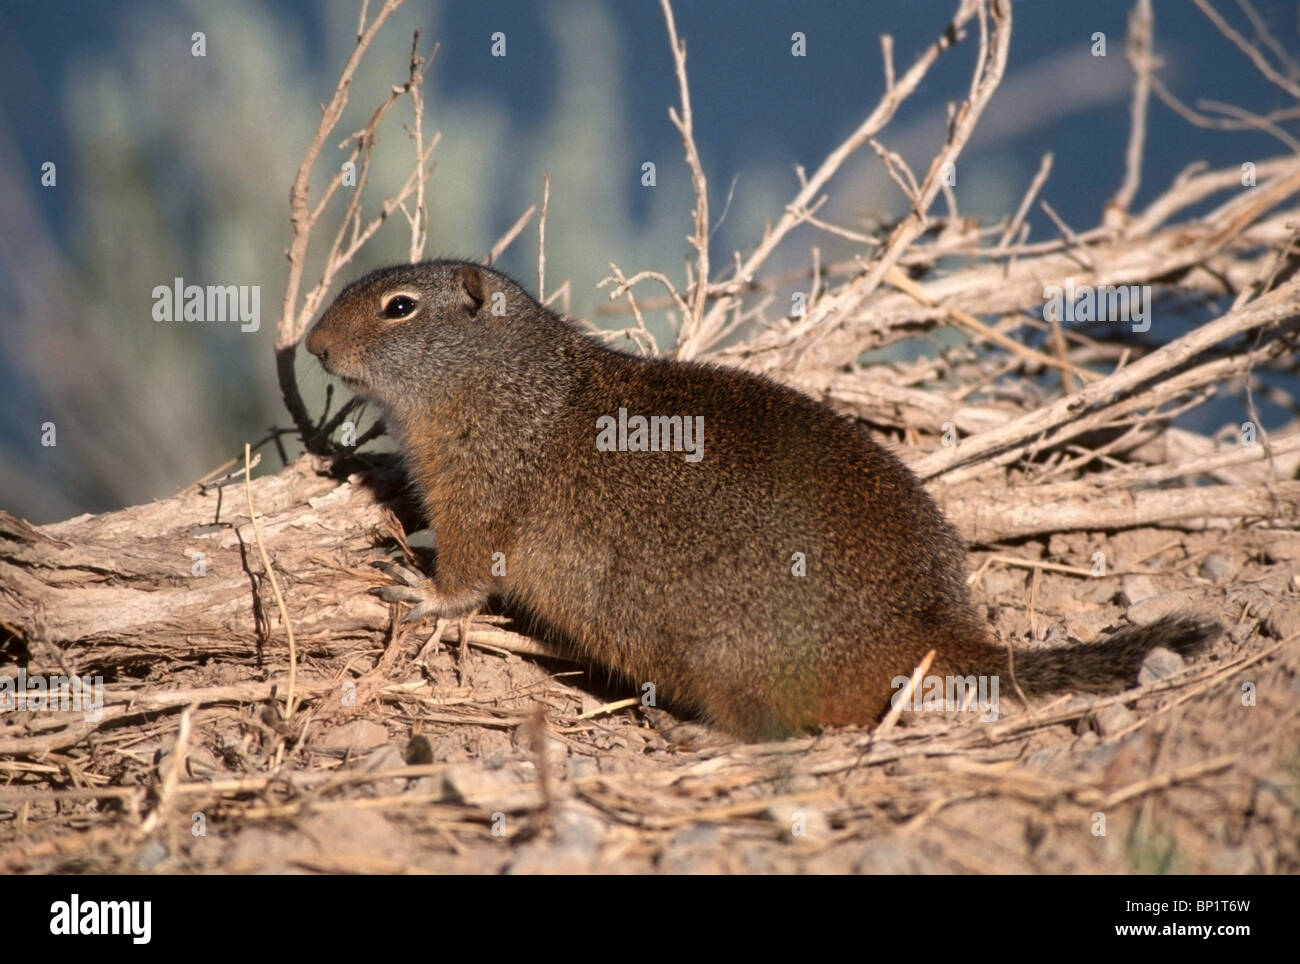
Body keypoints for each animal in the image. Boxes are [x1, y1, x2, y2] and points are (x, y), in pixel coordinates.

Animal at [305, 259, 1221, 741]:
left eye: (398, 307)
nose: (310, 344)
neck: (513, 384)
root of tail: (937, 626)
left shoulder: (479, 499)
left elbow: (463, 579)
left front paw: (411, 584)